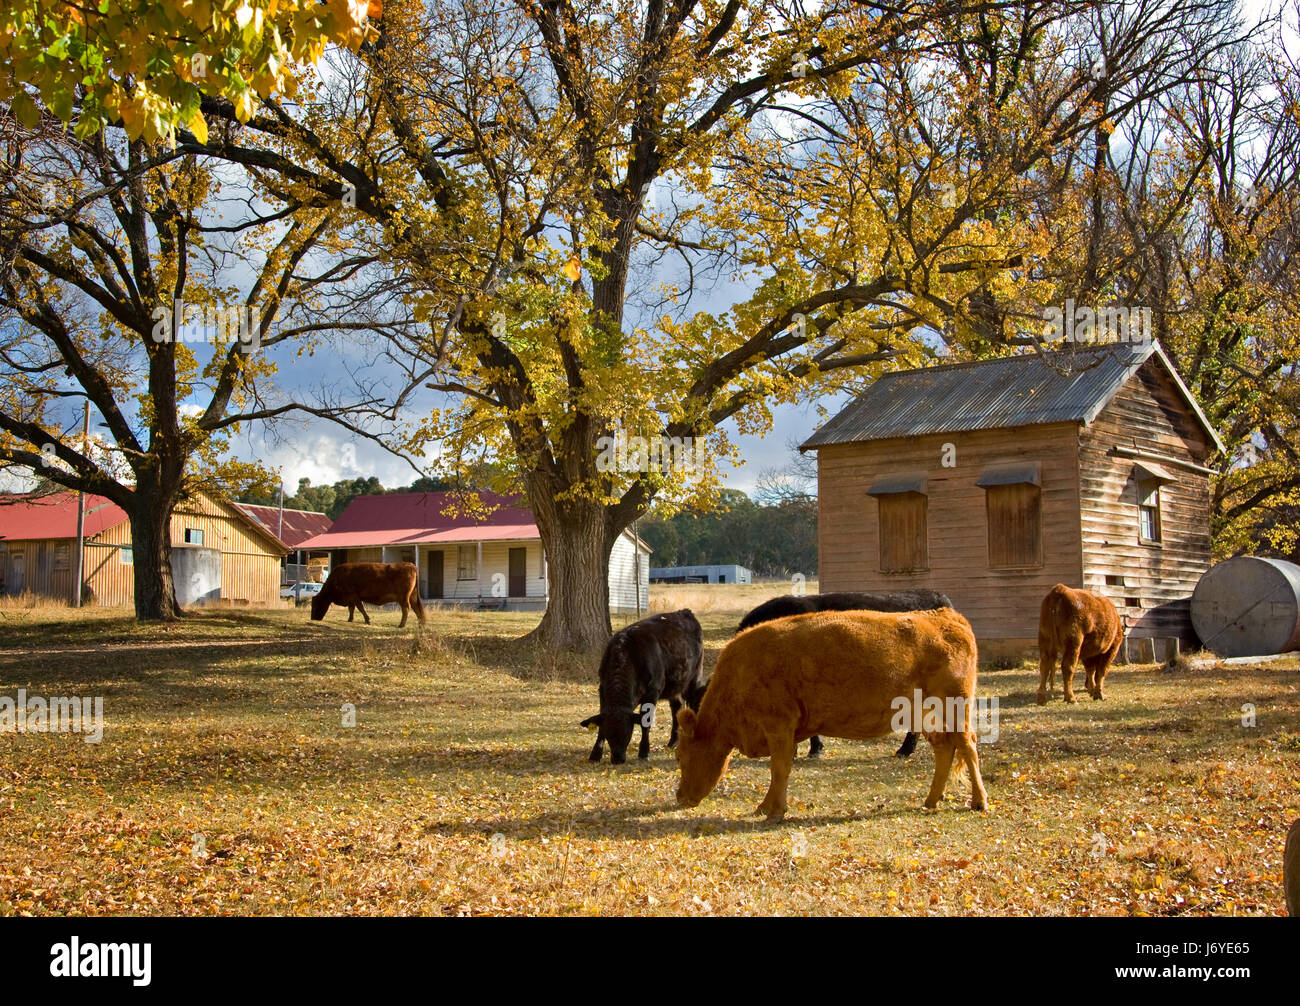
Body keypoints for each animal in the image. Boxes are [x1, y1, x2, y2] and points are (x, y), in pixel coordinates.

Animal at [581, 609, 707, 765]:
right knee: (677, 706)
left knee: (694, 702)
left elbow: (645, 722)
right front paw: (595, 754)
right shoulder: (602, 690)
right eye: (609, 735)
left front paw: (644, 752)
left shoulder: (652, 691)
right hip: (674, 684)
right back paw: (673, 741)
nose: (618, 759)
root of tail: (684, 612)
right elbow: (600, 722)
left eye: (627, 733)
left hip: (694, 677)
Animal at [675, 608, 988, 822]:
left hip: (955, 707)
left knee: (967, 746)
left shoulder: (779, 726)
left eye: (680, 756)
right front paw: (767, 807)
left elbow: (779, 768)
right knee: (944, 748)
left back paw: (979, 801)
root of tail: (945, 616)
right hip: (926, 716)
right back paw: (931, 800)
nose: (680, 798)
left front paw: (773, 810)